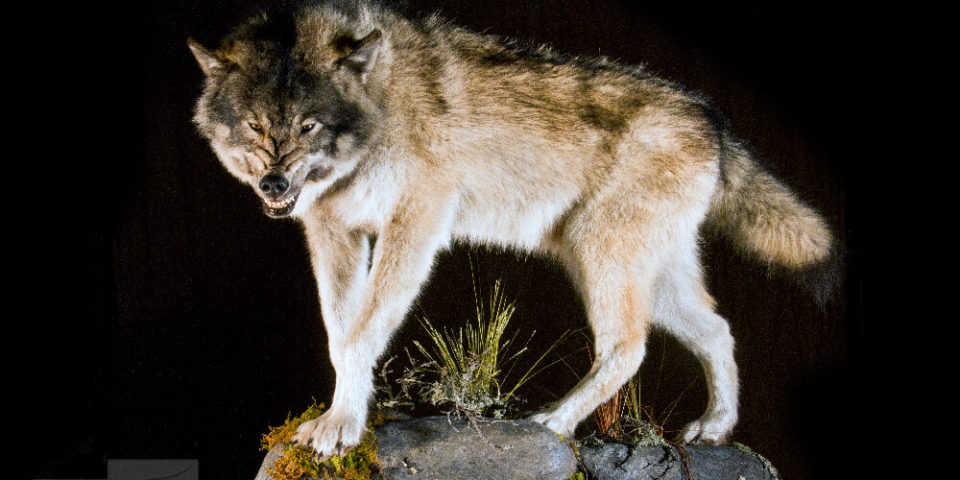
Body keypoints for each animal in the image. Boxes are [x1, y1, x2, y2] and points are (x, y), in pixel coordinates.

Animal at [189, 0, 832, 458]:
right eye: (254, 126)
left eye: (308, 125)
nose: (274, 185)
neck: (381, 106)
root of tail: (711, 118)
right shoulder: (333, 236)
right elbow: (337, 337)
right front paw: (343, 417)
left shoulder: (414, 226)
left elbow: (360, 335)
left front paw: (341, 426)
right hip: (642, 274)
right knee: (718, 330)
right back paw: (715, 429)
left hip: (600, 260)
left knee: (629, 347)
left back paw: (555, 422)